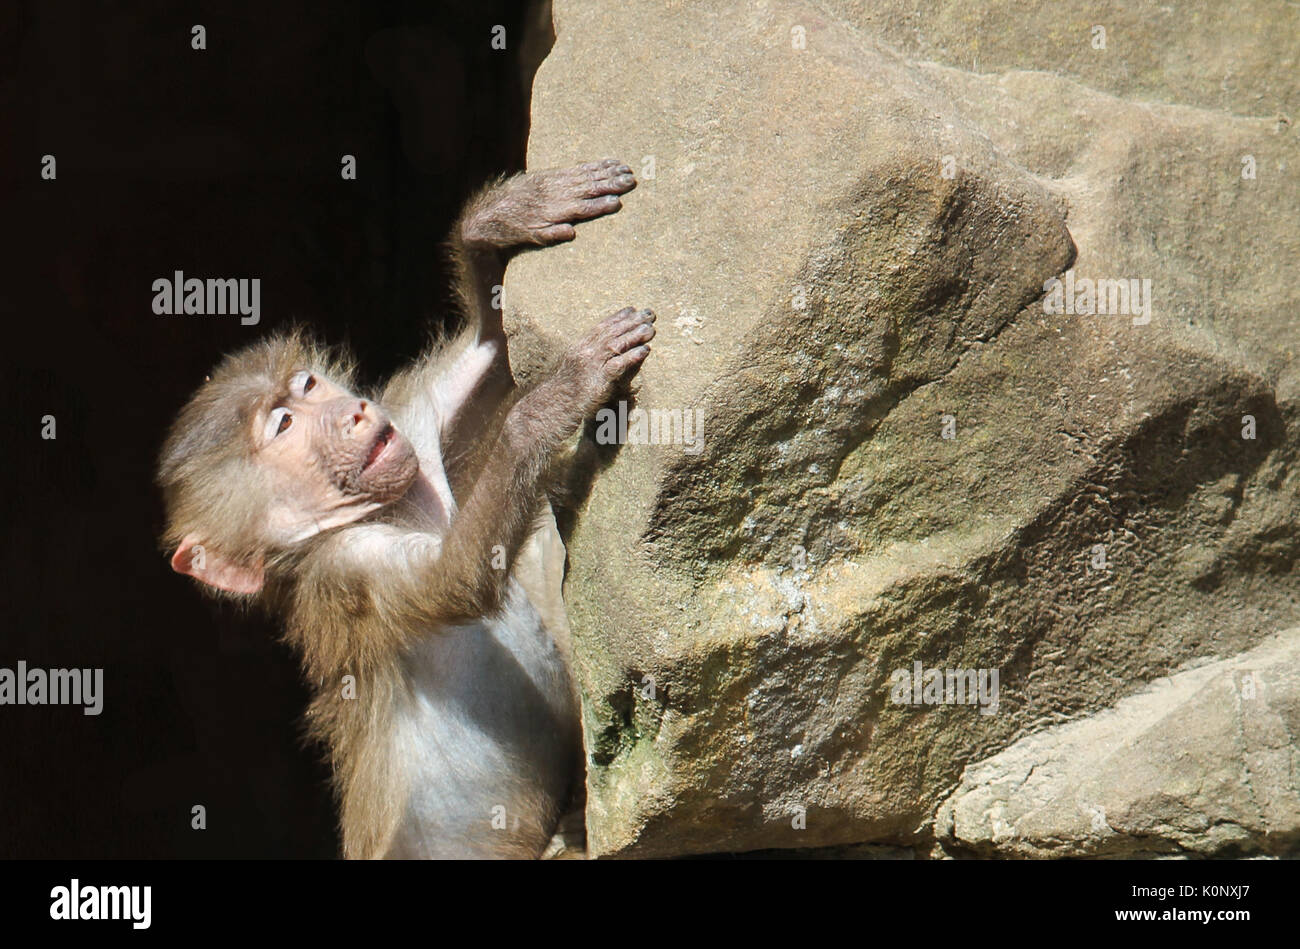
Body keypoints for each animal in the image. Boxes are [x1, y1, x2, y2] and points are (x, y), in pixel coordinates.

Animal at [156, 159, 654, 859]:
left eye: (307, 385)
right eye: (284, 426)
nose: (356, 412)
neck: (388, 512)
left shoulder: (413, 435)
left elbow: (486, 353)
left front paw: (499, 222)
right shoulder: (348, 570)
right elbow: (459, 576)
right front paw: (554, 399)